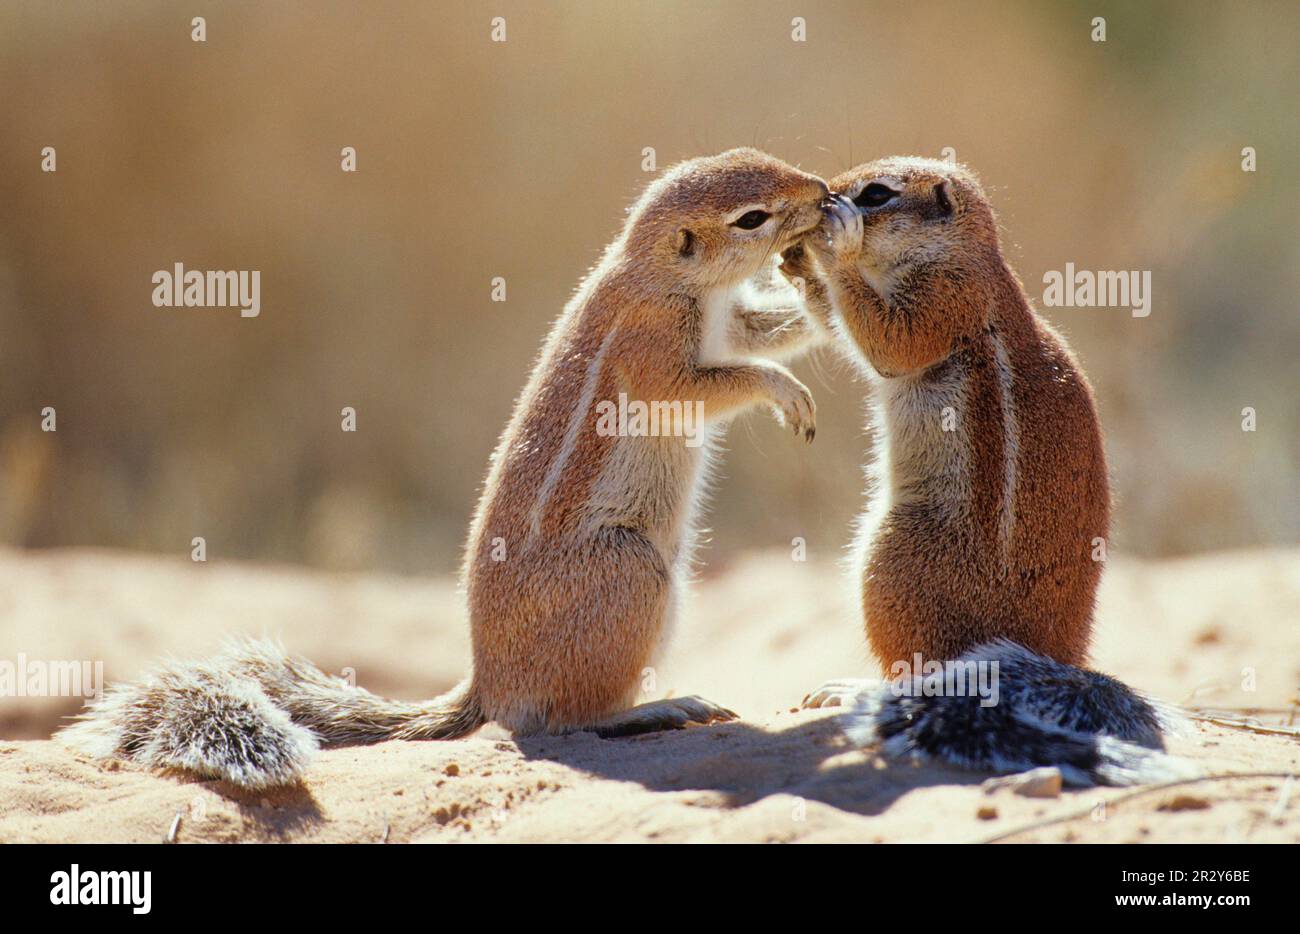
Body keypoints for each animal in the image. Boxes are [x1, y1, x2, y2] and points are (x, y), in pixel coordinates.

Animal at [59, 148, 831, 789]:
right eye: (752, 217)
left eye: (767, 153)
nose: (824, 193)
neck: (661, 271)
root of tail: (485, 683)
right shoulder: (656, 349)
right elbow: (708, 385)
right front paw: (786, 392)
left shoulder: (734, 320)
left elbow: (769, 331)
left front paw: (823, 302)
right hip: (632, 572)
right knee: (555, 720)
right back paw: (655, 708)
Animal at [779, 157, 1191, 786]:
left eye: (876, 194)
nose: (824, 199)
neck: (962, 254)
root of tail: (1059, 659)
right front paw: (793, 263)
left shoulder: (946, 300)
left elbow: (889, 341)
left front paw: (834, 242)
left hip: (893, 559)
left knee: (913, 666)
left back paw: (849, 690)